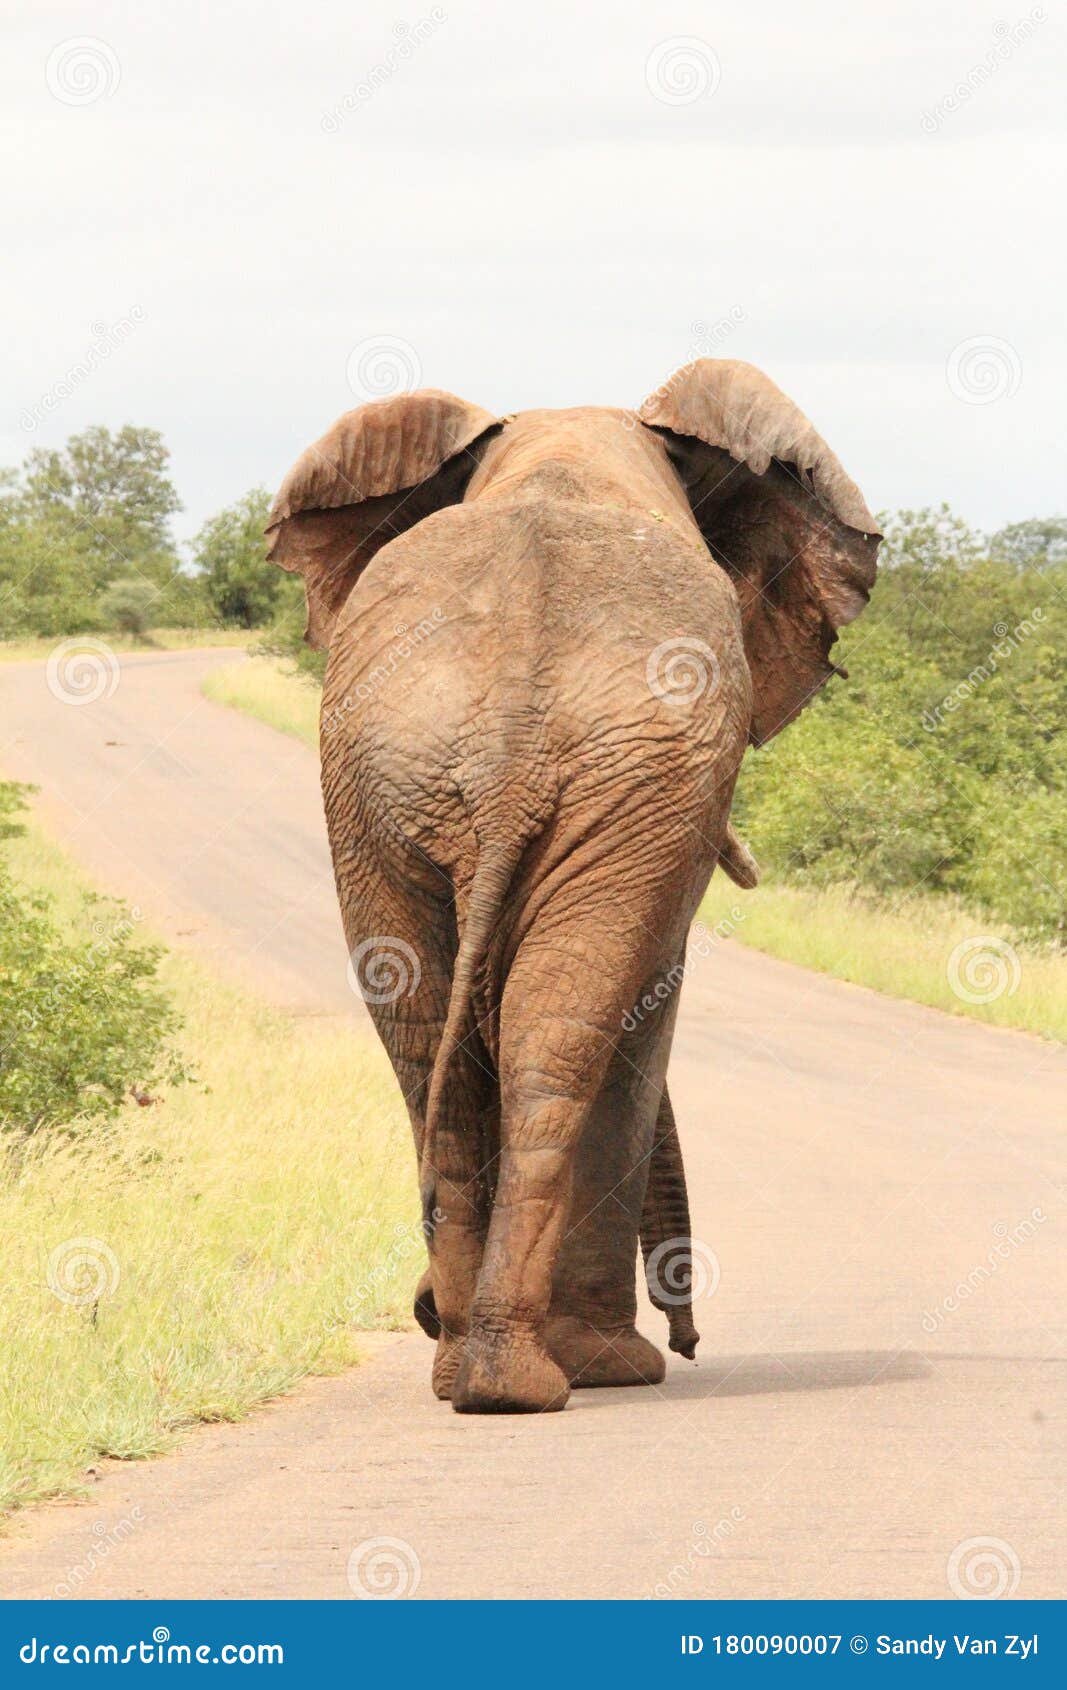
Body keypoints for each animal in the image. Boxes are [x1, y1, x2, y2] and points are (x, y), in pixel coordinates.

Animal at [266, 359, 880, 1413]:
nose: (690, 1341)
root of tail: (506, 738)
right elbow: (644, 1011)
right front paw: (615, 1368)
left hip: (393, 782)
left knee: (439, 1043)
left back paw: (473, 1376)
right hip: (533, 784)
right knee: (563, 1038)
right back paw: (548, 1377)